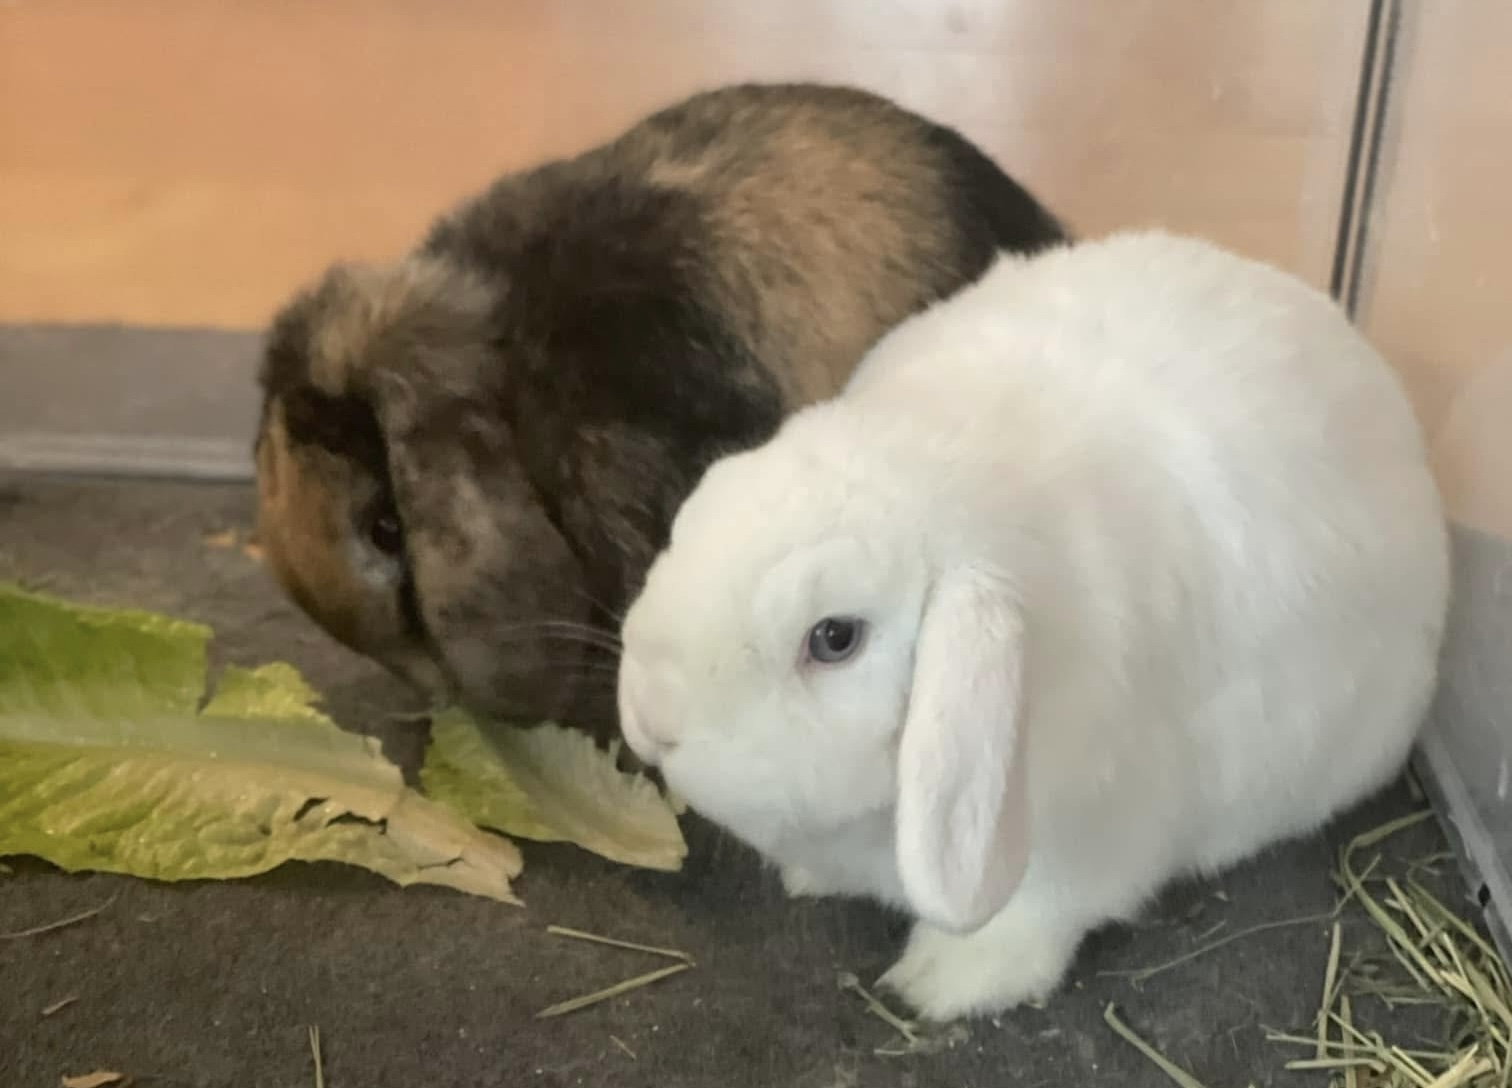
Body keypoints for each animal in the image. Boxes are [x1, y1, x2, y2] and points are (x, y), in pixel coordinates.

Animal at [615, 229, 1452, 1020]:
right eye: (691, 516)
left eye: (834, 638)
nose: (652, 722)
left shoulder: (1084, 841)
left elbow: (1033, 919)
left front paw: (941, 982)